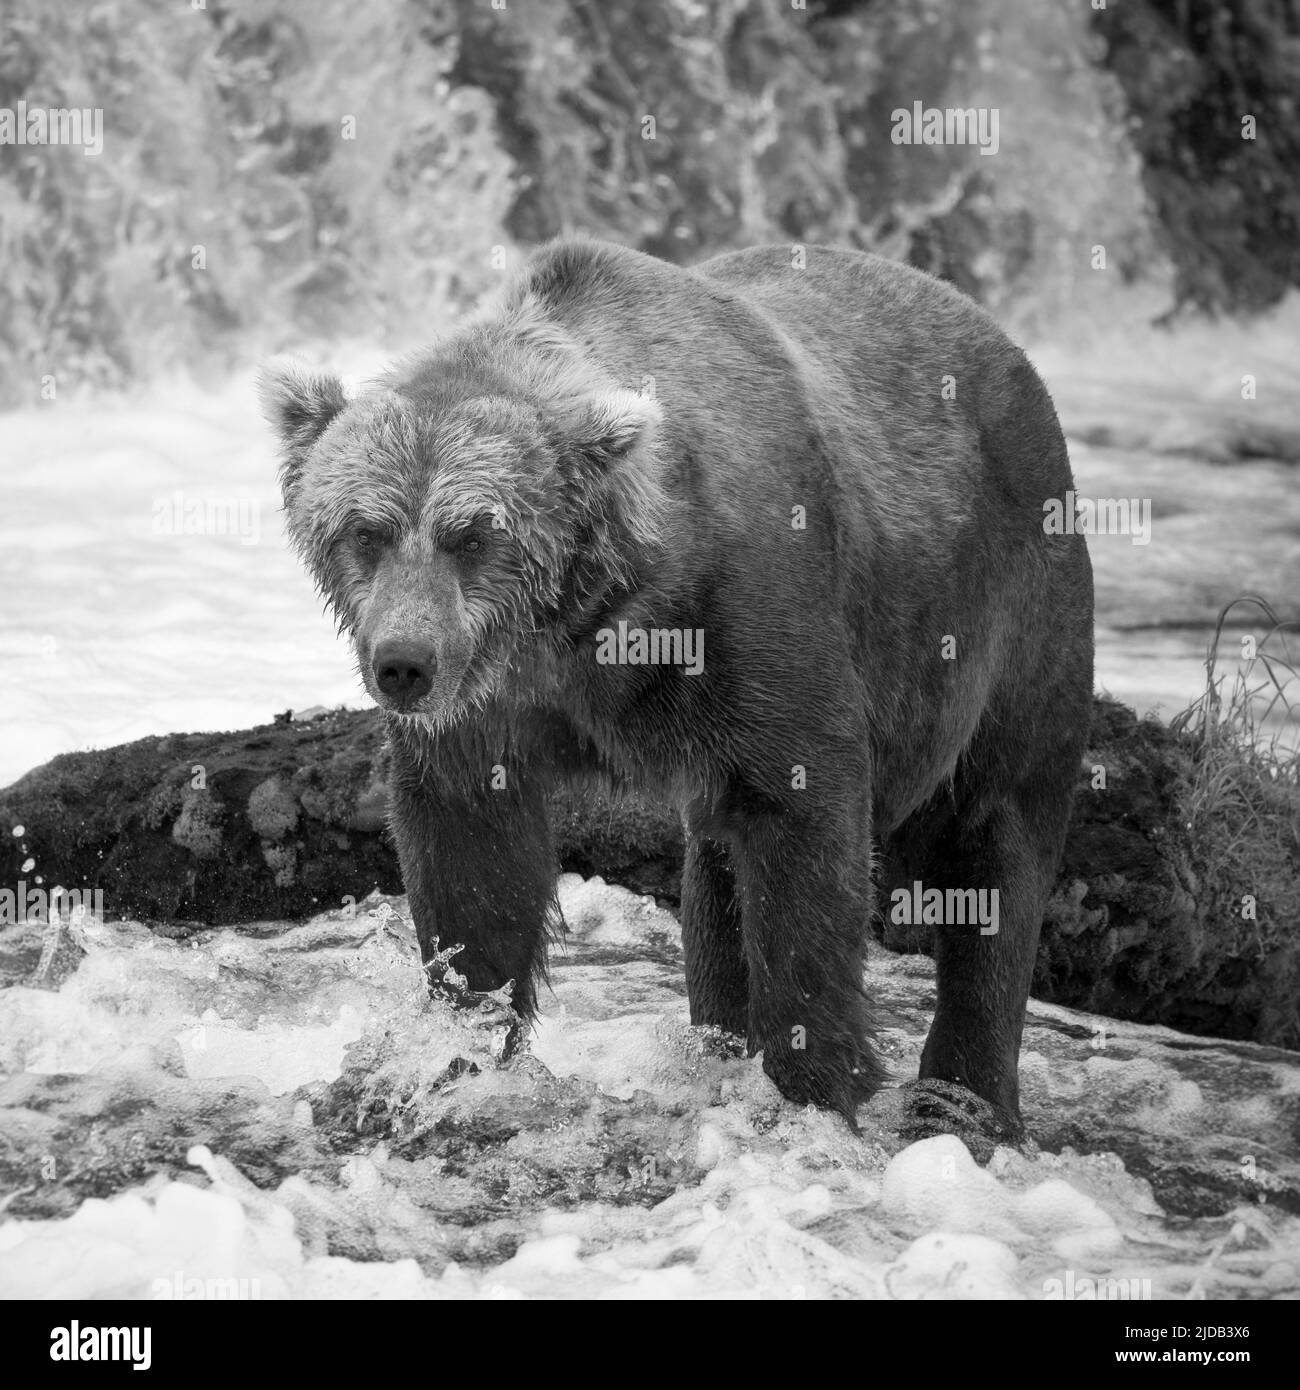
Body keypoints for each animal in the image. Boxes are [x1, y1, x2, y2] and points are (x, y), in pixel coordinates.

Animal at [261, 238, 1094, 1137]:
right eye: (367, 530)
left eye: (473, 535)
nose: (404, 663)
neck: (586, 619)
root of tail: (1000, 339)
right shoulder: (494, 700)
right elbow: (471, 854)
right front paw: (454, 1052)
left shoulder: (749, 612)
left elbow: (808, 825)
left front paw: (818, 1083)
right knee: (717, 870)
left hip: (1012, 607)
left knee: (997, 838)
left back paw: (965, 1099)